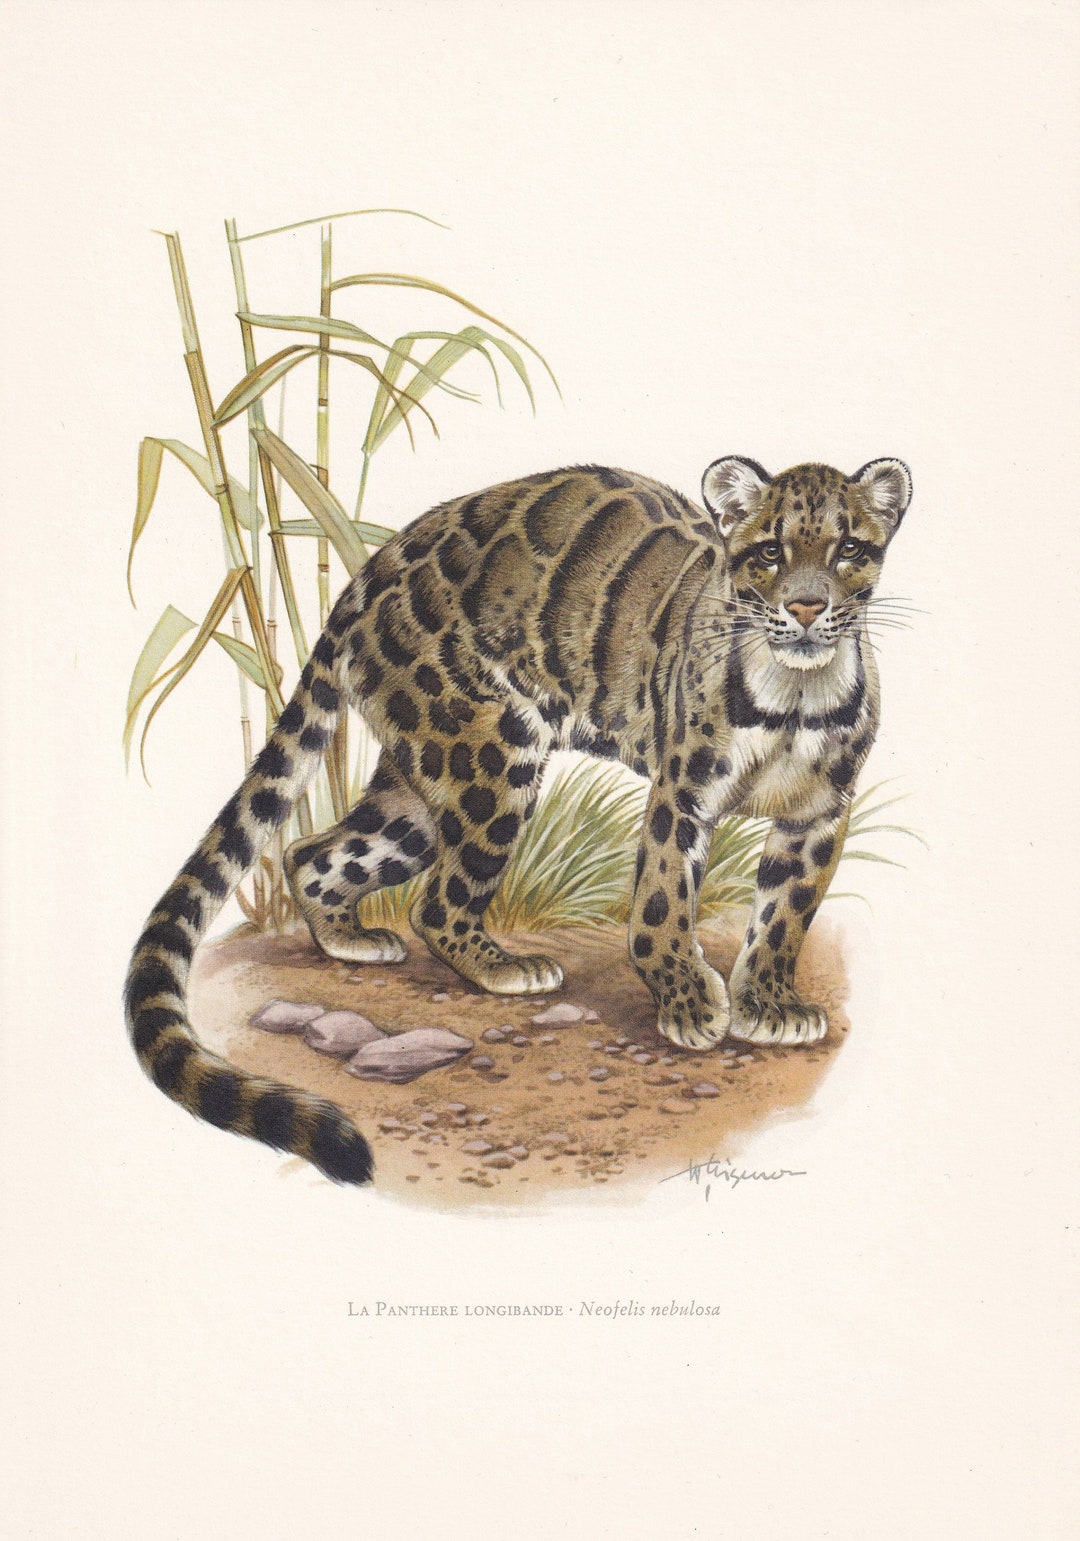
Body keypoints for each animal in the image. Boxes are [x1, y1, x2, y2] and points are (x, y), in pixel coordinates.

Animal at [124, 454, 912, 1184]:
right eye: (770, 552)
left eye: (848, 548)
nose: (806, 608)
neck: (797, 694)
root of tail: (371, 571)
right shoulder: (681, 795)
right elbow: (662, 906)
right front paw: (689, 1005)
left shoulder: (819, 813)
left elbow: (784, 917)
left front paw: (771, 1003)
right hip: (491, 756)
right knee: (438, 901)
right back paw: (506, 968)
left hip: (420, 792)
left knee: (313, 854)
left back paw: (350, 938)